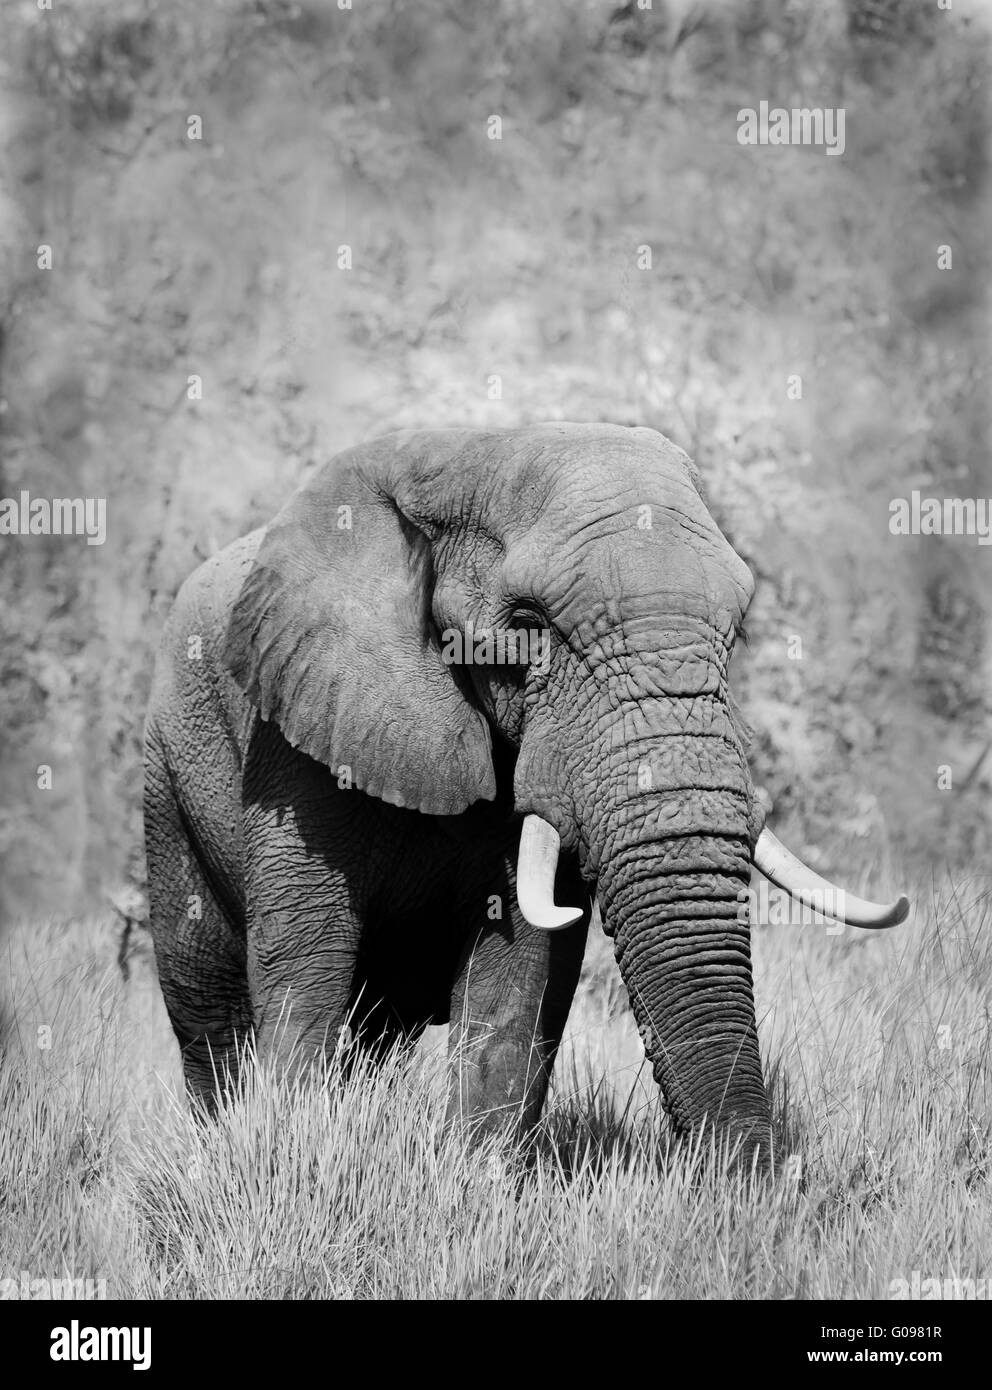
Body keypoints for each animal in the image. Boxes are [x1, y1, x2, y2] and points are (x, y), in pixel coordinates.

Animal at [143, 423, 908, 1165]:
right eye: (530, 624)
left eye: (738, 631)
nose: (760, 1175)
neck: (454, 456)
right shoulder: (297, 732)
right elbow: (308, 958)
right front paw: (293, 1151)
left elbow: (518, 974)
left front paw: (477, 1173)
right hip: (167, 779)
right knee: (205, 997)